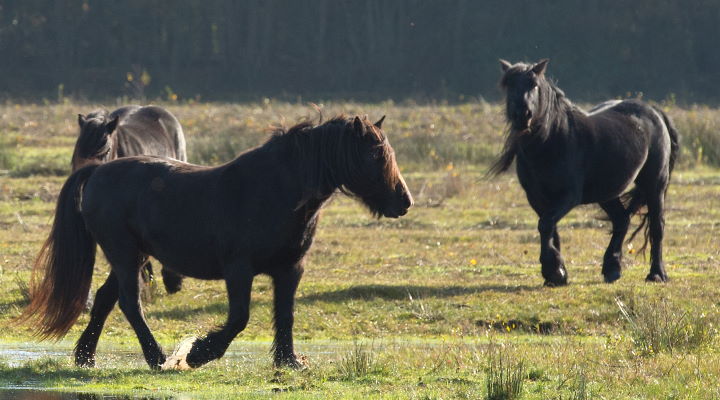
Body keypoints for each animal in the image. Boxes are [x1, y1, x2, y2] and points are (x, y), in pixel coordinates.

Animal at [490, 59, 679, 286]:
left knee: (657, 226)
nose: (521, 115)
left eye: (533, 85)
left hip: (655, 184)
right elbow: (551, 228)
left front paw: (554, 271)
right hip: (607, 192)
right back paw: (612, 269)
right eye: (508, 86)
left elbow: (545, 225)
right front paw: (556, 274)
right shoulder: (535, 197)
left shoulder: (568, 196)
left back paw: (656, 274)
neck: (553, 140)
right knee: (621, 220)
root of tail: (654, 111)